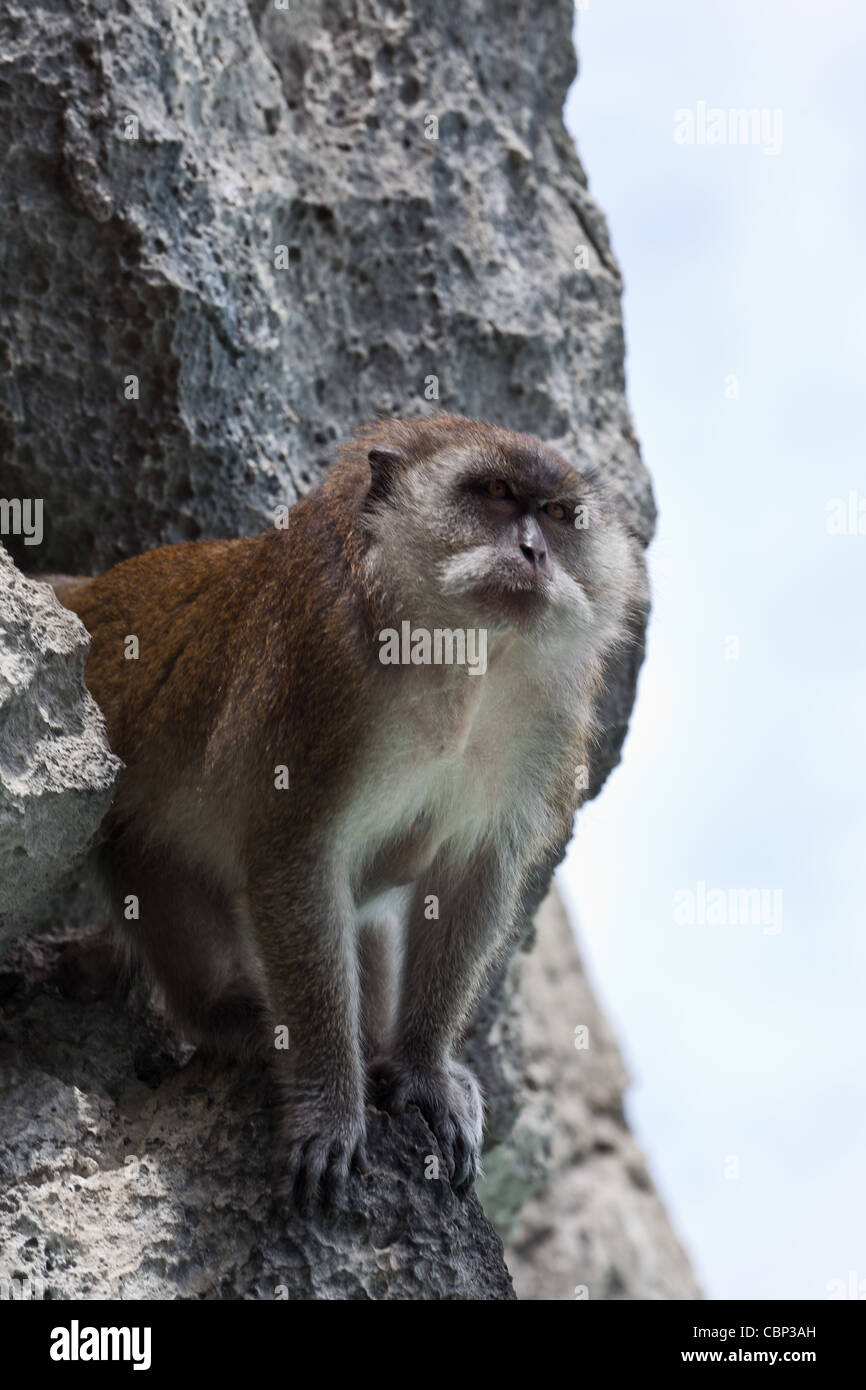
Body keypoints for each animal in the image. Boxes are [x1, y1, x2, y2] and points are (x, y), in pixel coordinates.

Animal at [44, 413, 646, 1206]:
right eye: (492, 493)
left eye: (554, 513)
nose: (533, 551)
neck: (462, 652)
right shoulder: (322, 683)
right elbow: (295, 860)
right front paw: (330, 1101)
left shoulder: (545, 719)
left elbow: (471, 875)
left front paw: (422, 1068)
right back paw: (228, 1015)